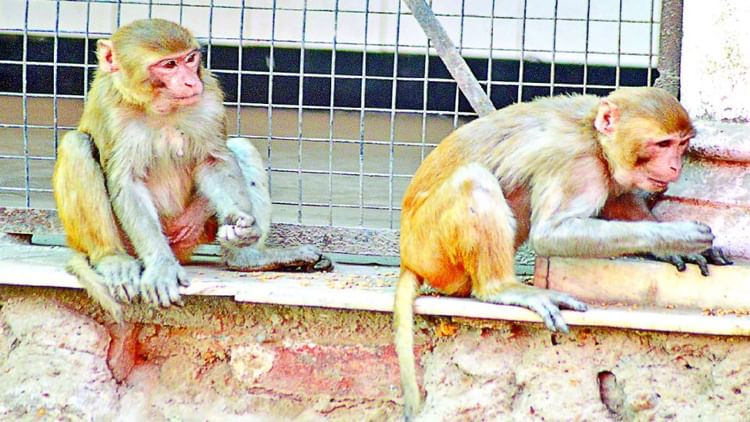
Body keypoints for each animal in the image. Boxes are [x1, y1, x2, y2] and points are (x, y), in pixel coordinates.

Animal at [52, 19, 331, 322]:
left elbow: (213, 160)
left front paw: (241, 224)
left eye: (189, 59)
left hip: (197, 231)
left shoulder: (208, 95)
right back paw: (112, 258)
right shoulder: (111, 110)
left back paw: (248, 258)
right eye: (168, 65)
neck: (159, 106)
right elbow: (127, 182)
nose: (190, 81)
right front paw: (161, 266)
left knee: (241, 147)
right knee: (76, 145)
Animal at [393, 87, 732, 418]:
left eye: (681, 144)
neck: (594, 137)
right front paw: (677, 237)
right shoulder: (579, 164)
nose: (675, 165)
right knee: (474, 180)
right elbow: (550, 233)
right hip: (432, 249)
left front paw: (671, 249)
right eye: (663, 144)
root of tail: (408, 255)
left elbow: (617, 200)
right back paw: (501, 288)